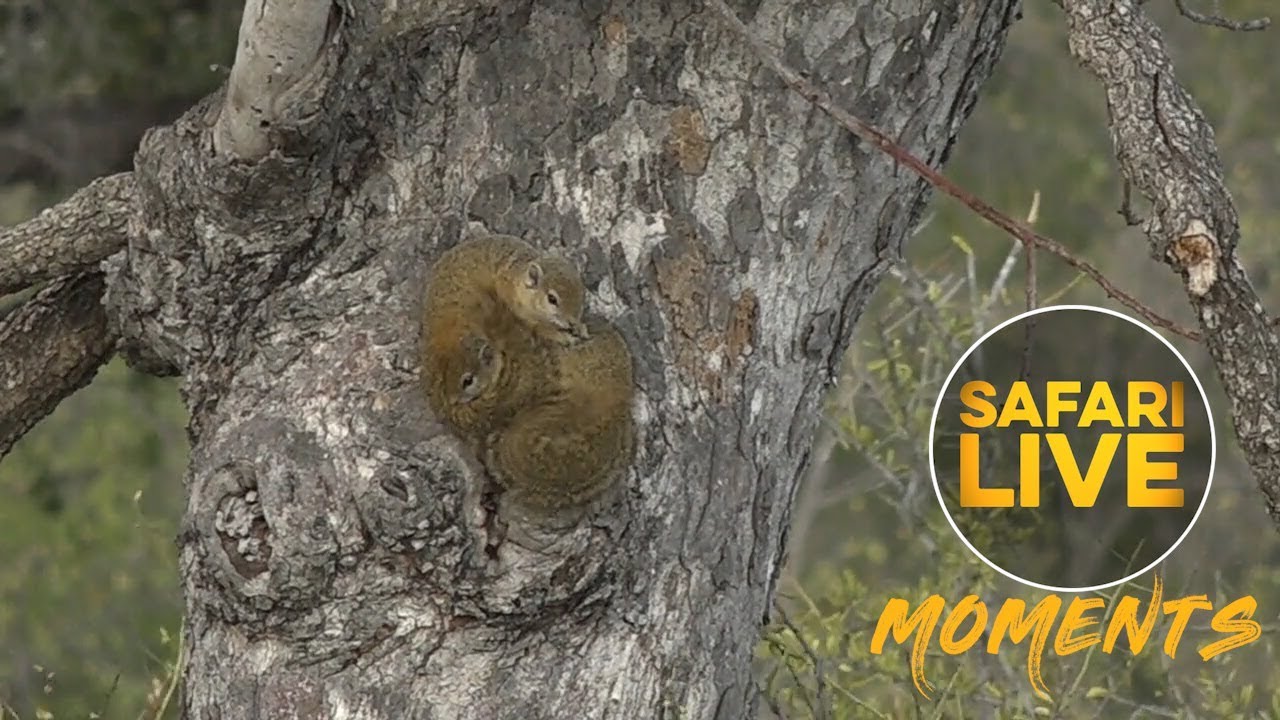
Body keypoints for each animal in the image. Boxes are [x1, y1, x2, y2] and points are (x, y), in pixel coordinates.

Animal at [421, 234, 588, 443]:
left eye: (581, 297)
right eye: (552, 299)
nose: (572, 321)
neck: (517, 283)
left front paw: (579, 328)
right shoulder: (521, 312)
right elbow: (542, 329)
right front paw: (563, 336)